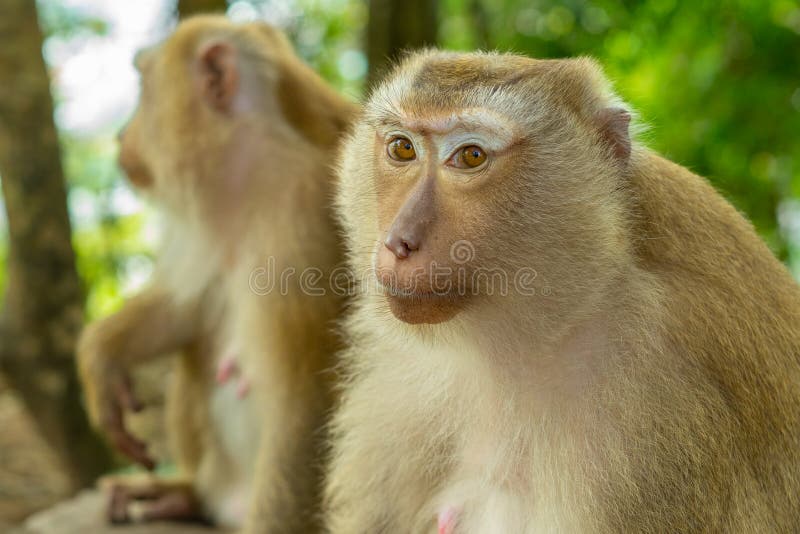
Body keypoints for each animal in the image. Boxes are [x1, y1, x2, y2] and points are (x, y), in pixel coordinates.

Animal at [77, 16, 358, 532]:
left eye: (143, 87)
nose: (121, 134)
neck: (257, 175)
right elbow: (182, 308)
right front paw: (102, 356)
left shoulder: (302, 226)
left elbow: (306, 407)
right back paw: (183, 495)